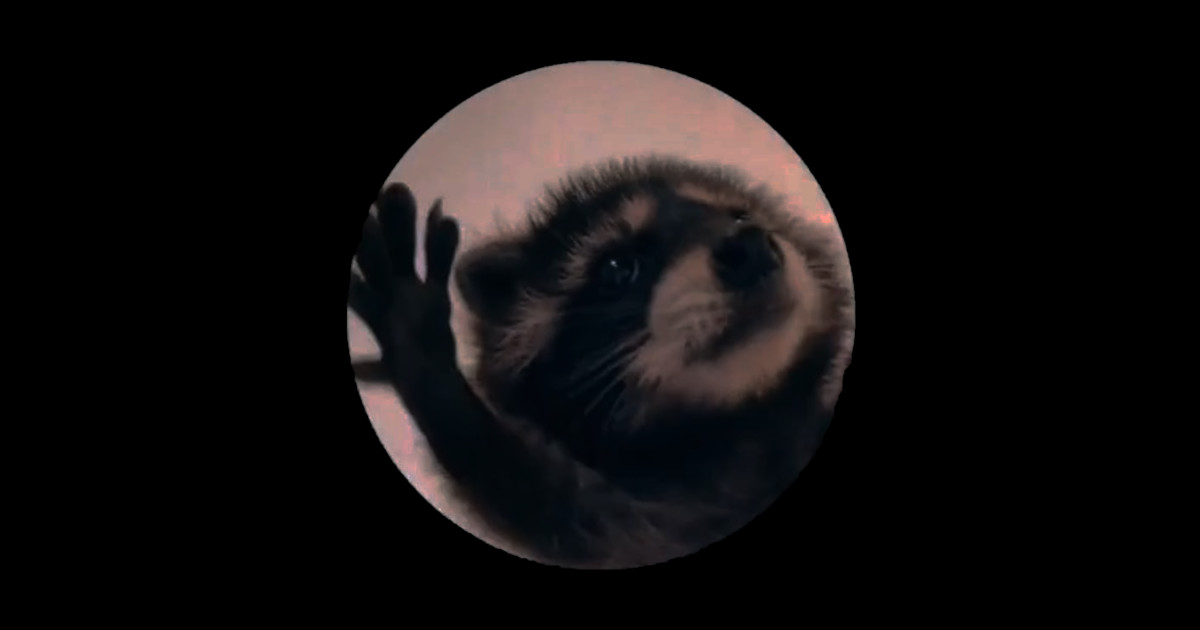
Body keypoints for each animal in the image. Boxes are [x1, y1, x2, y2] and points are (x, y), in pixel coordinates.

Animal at [348, 155, 853, 569]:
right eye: (618, 267)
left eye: (740, 215)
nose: (750, 246)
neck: (736, 426)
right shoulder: (655, 524)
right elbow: (551, 504)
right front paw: (426, 361)